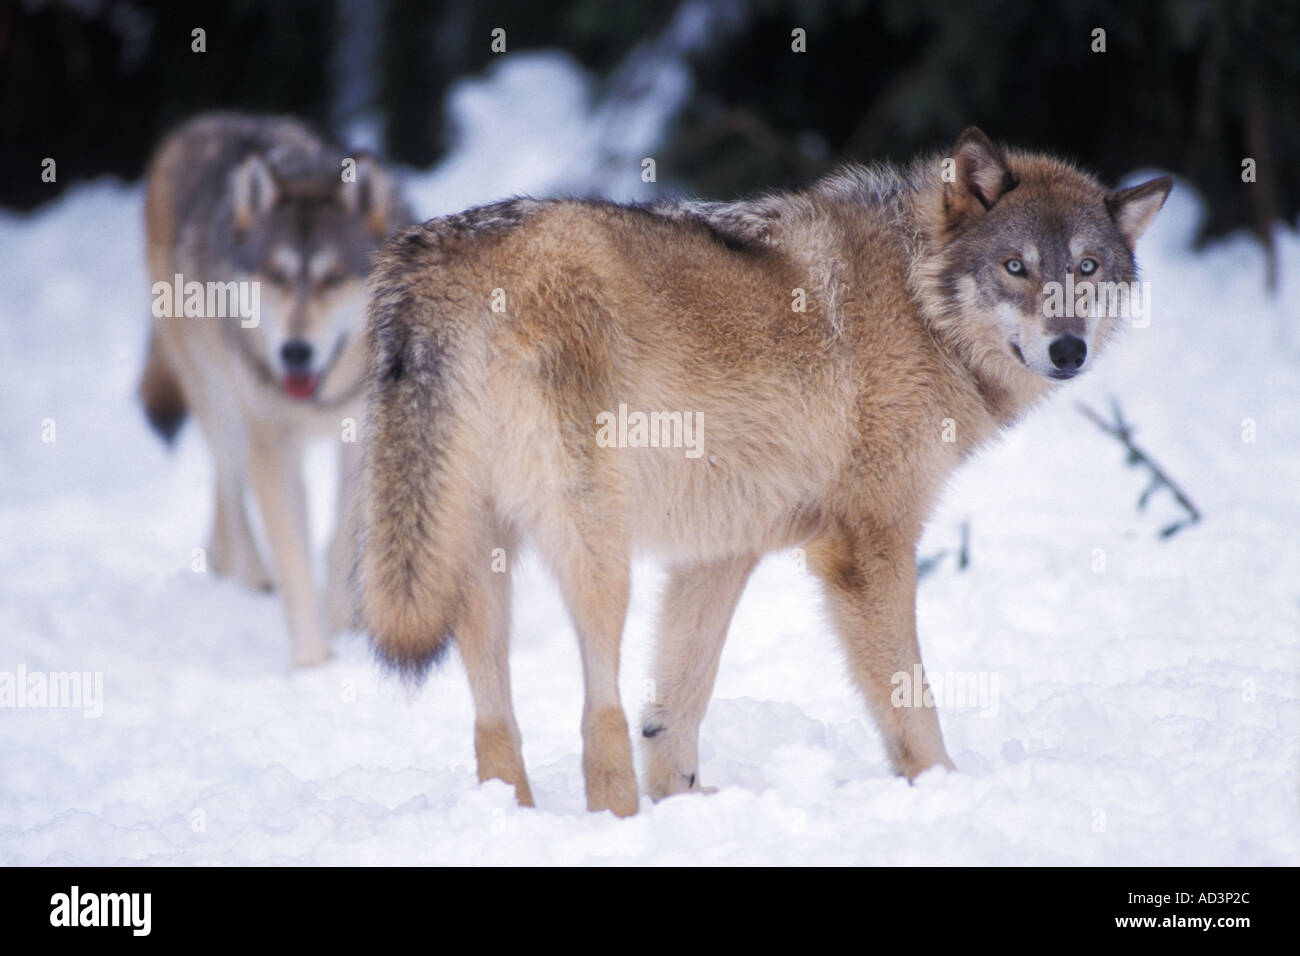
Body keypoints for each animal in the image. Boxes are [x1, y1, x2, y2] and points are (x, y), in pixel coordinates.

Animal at [137, 113, 408, 666]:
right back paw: (248, 573)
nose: (295, 353)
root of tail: (202, 121)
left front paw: (346, 627)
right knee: (228, 482)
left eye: (333, 278)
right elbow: (293, 557)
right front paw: (312, 663)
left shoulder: (363, 436)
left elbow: (340, 542)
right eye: (277, 276)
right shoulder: (273, 446)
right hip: (219, 400)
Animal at [358, 128, 1171, 815]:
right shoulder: (864, 548)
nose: (1068, 350)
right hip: (593, 549)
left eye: (1087, 270)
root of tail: (436, 258)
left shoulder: (722, 552)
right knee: (595, 714)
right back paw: (614, 821)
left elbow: (677, 707)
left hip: (471, 549)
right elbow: (910, 701)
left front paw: (684, 804)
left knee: (495, 721)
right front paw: (943, 790)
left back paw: (516, 818)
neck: (918, 303)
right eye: (1016, 268)